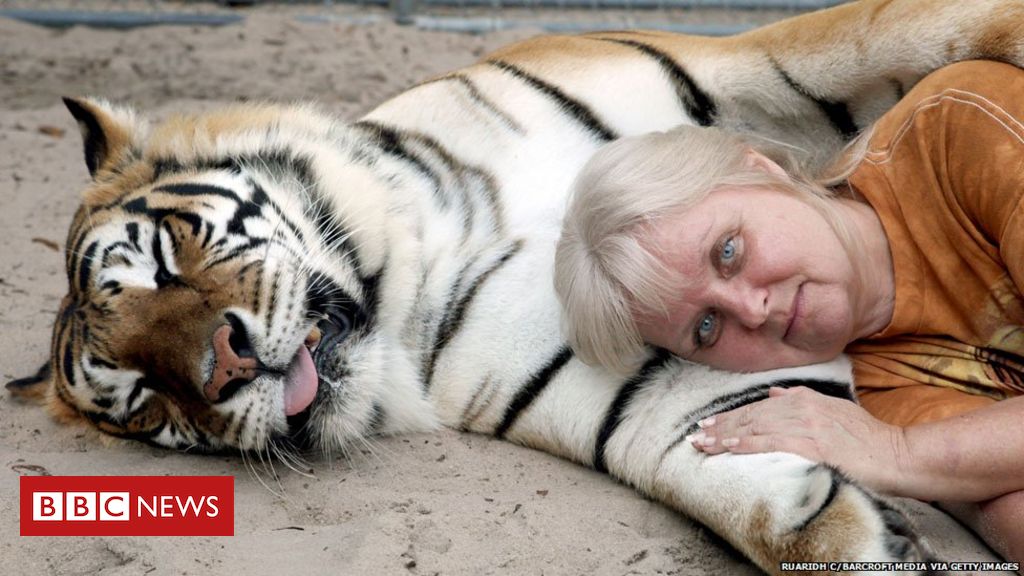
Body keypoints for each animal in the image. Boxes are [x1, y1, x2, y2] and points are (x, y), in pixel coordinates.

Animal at [7, 0, 1024, 572]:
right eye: (147, 403)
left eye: (166, 255)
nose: (222, 369)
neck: (418, 259)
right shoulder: (610, 372)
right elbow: (703, 448)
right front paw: (861, 535)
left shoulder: (753, 60)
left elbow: (934, 27)